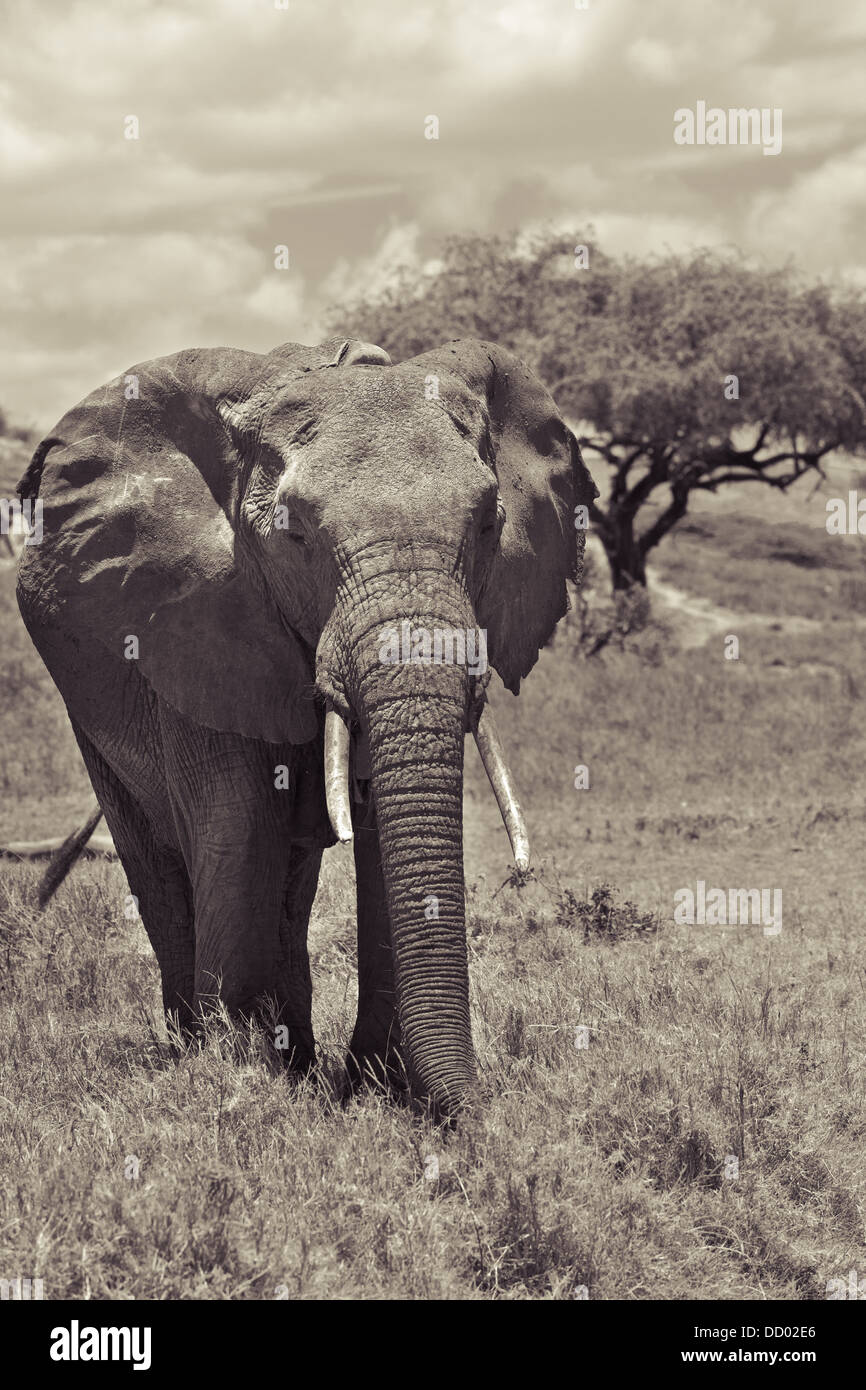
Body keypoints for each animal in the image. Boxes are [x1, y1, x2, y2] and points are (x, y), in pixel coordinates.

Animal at [16, 335, 598, 1115]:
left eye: (488, 523)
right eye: (294, 532)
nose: (479, 1118)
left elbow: (377, 831)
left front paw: (377, 1087)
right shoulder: (196, 615)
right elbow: (238, 823)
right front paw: (237, 1080)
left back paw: (294, 1057)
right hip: (85, 697)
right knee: (157, 856)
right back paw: (198, 1048)